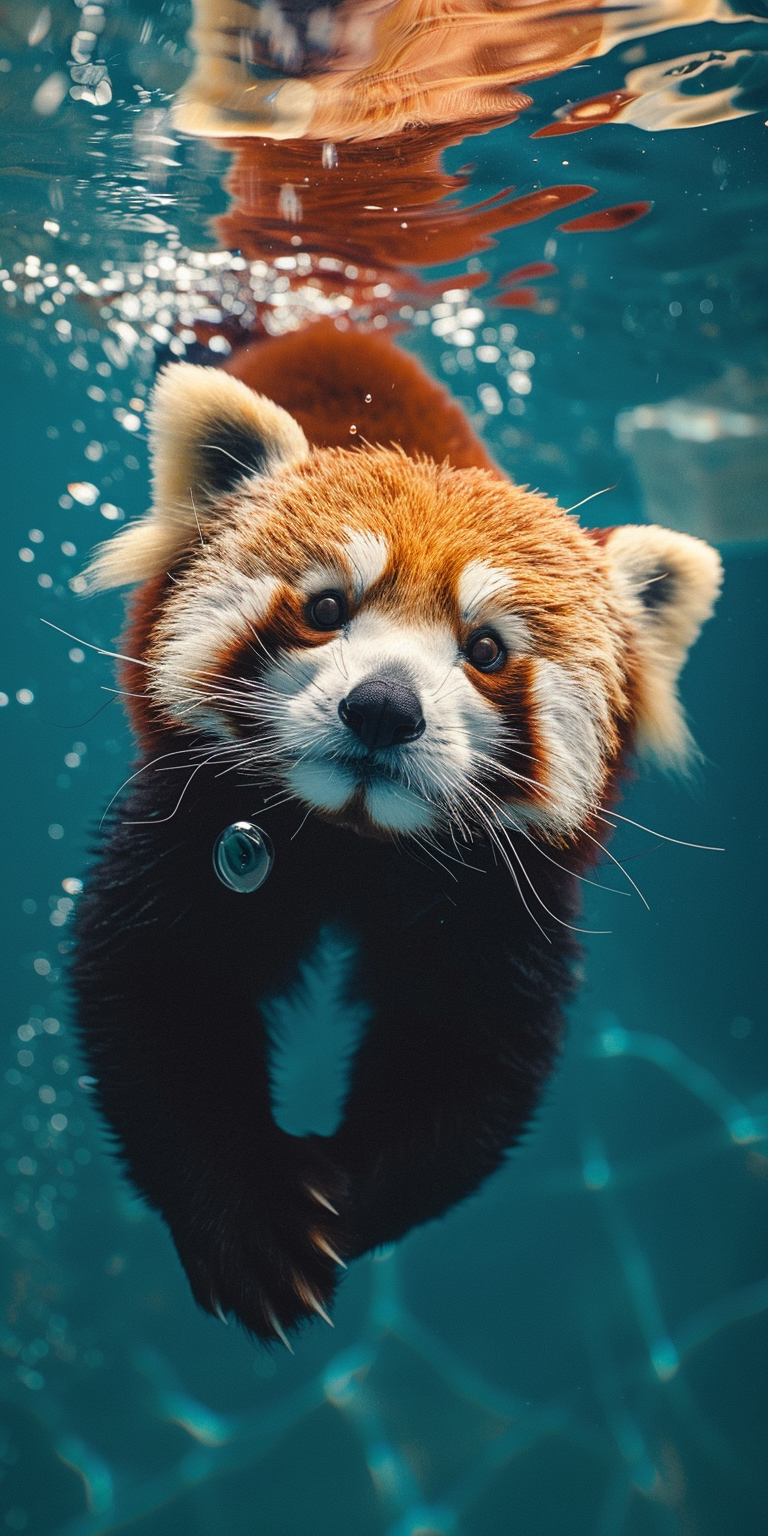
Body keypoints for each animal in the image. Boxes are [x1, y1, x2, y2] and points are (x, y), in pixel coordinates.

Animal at [71, 320, 721, 1342]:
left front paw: (345, 1203)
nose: (383, 708)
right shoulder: (189, 832)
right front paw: (249, 1223)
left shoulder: (504, 904)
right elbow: (156, 997)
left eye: (487, 649)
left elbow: (466, 1061)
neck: (354, 845)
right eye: (326, 607)